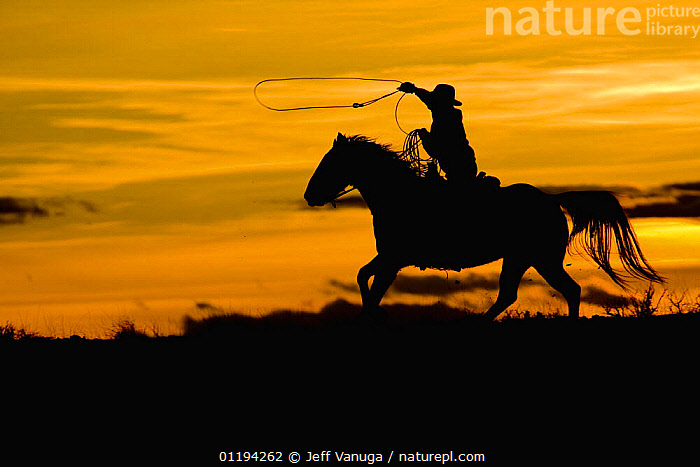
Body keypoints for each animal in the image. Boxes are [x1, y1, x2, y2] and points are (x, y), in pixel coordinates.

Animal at [304, 133, 664, 320]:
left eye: (329, 163)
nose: (310, 195)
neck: (399, 194)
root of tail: (551, 200)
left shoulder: (394, 259)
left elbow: (372, 285)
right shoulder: (389, 257)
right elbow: (363, 276)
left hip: (538, 259)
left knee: (566, 290)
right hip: (523, 259)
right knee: (513, 295)